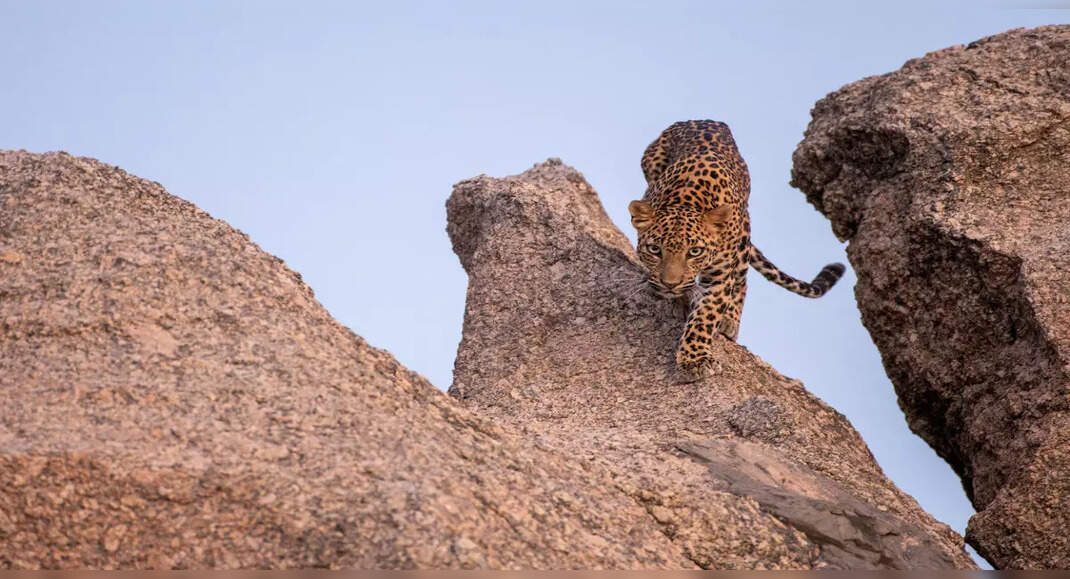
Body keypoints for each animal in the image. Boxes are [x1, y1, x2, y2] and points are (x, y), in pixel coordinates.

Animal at [628, 120, 845, 374]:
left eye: (694, 252)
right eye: (655, 250)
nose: (670, 284)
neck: (685, 200)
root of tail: (709, 120)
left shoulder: (720, 275)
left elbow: (705, 316)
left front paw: (694, 359)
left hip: (742, 240)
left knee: (742, 280)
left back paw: (728, 321)